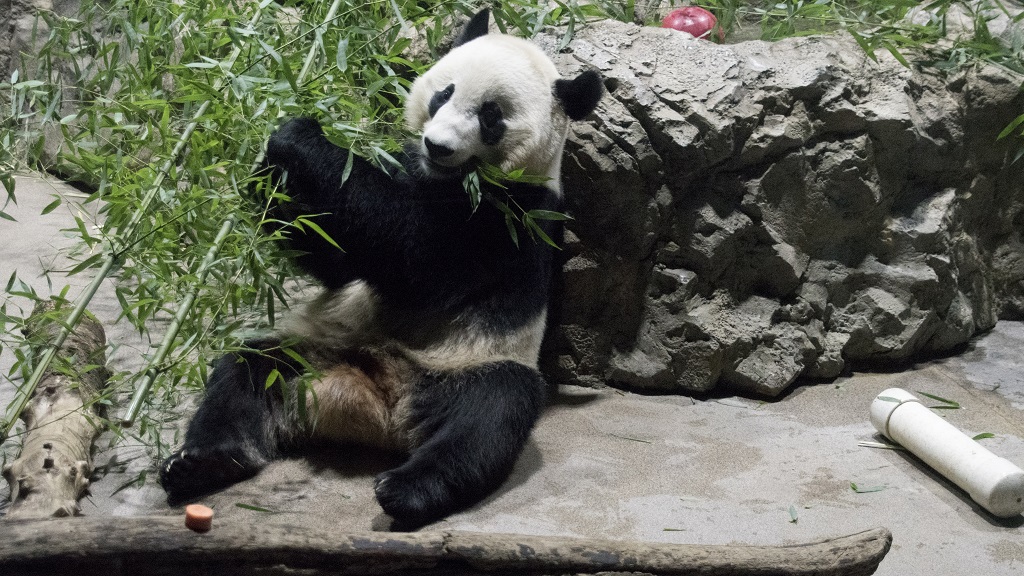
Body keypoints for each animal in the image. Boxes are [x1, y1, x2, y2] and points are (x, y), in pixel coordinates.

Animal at [159, 9, 603, 528]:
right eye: (444, 93)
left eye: (490, 116)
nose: (438, 145)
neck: (444, 177)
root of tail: (375, 410)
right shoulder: (407, 166)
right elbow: (340, 262)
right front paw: (267, 167)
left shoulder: (510, 218)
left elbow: (413, 258)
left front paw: (300, 136)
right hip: (314, 350)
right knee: (244, 374)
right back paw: (200, 463)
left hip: (466, 363)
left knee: (490, 413)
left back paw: (406, 491)